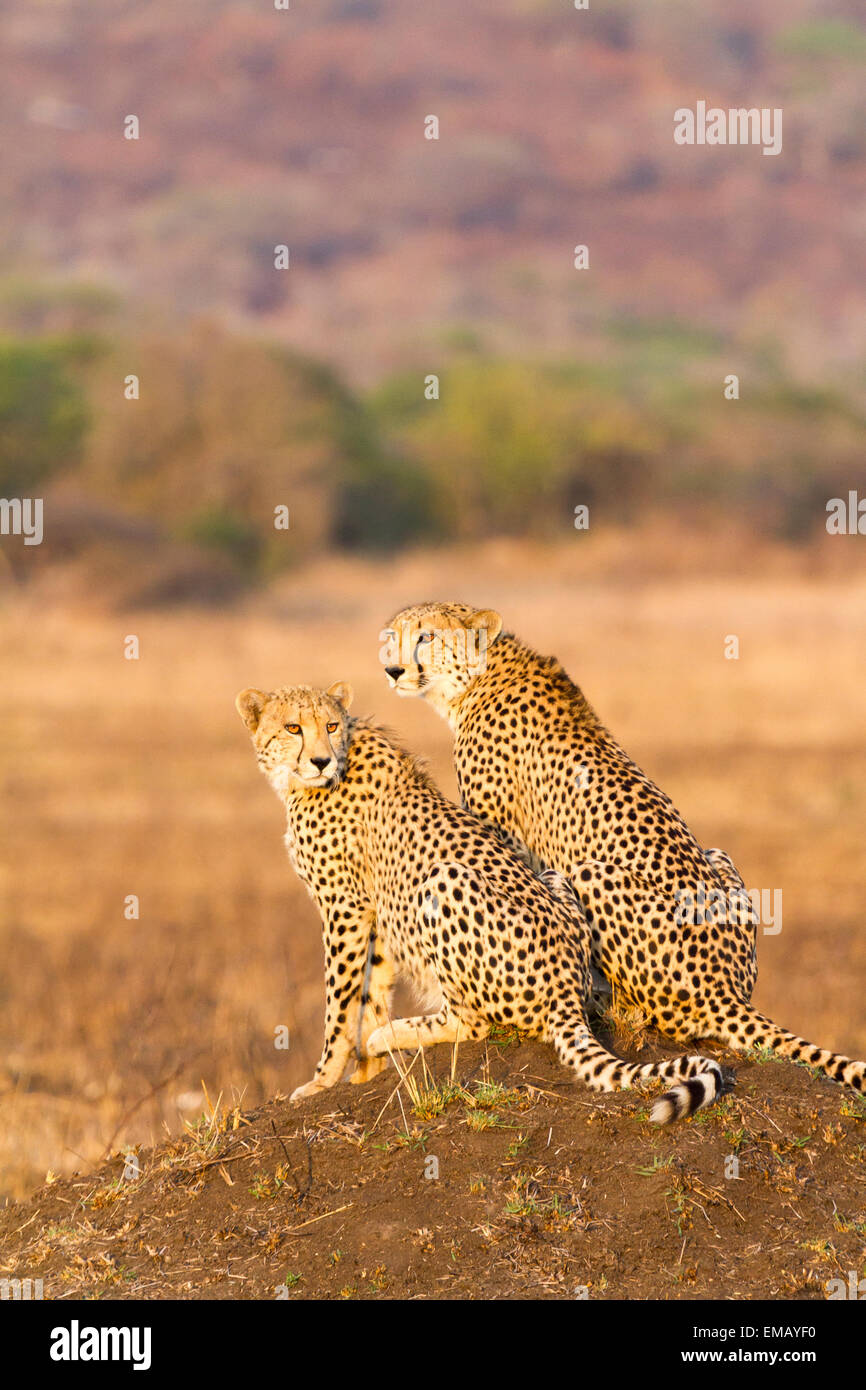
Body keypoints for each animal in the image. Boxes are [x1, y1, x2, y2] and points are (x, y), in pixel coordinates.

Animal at [235, 680, 732, 1121]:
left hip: (441, 881)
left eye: (331, 725)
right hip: (554, 877)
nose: (320, 761)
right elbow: (373, 992)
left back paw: (392, 1034)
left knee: (471, 1023)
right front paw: (363, 1075)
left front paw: (322, 1080)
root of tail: (567, 988)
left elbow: (338, 1008)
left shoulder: (345, 908)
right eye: (293, 727)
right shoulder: (374, 912)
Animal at [381, 601, 866, 1103]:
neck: (477, 679)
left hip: (590, 873)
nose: (391, 669)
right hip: (718, 859)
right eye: (394, 635)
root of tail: (727, 988)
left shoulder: (499, 832)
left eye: (427, 637)